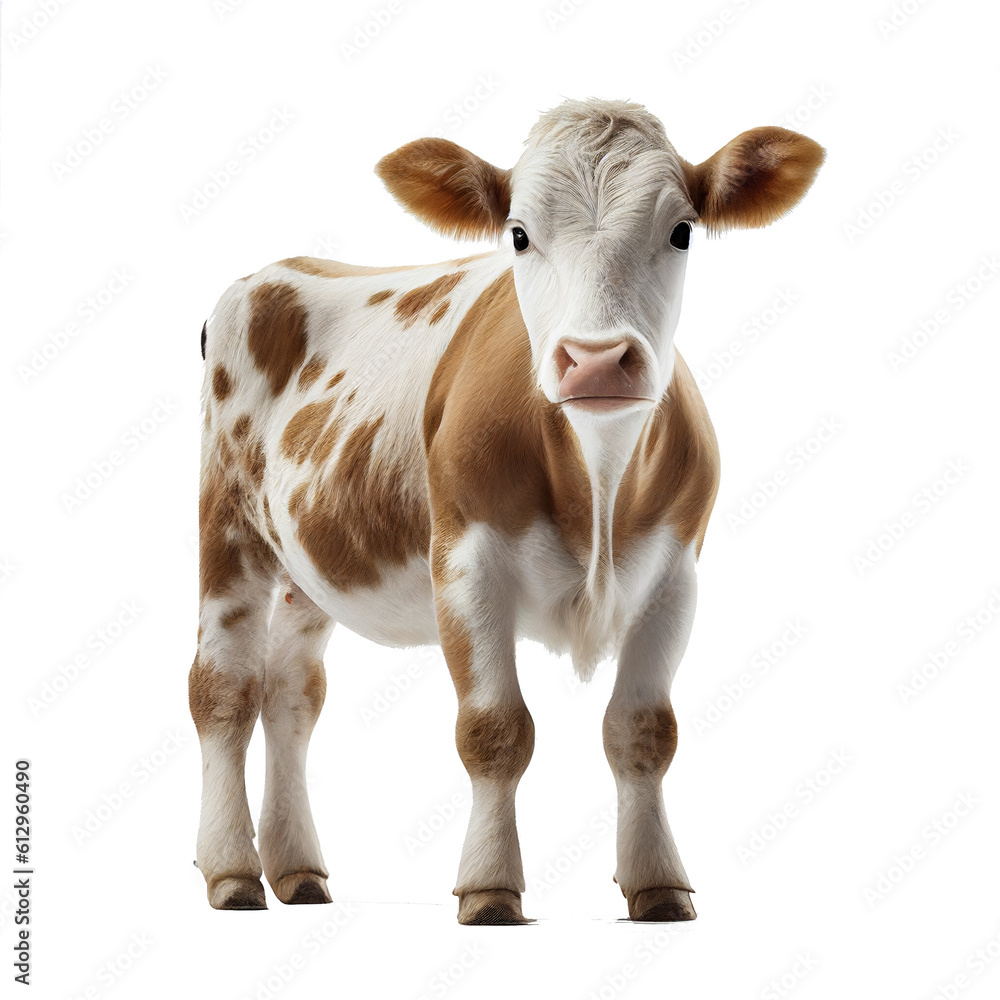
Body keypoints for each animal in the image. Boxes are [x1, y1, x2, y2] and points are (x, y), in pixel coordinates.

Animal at [189, 97, 824, 923]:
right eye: (519, 234)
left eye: (682, 230)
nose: (596, 358)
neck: (597, 478)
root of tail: (276, 269)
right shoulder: (468, 562)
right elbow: (494, 728)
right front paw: (491, 886)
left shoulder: (675, 575)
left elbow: (644, 732)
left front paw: (657, 883)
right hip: (227, 524)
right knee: (223, 687)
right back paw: (231, 870)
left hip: (312, 564)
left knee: (292, 696)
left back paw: (298, 871)